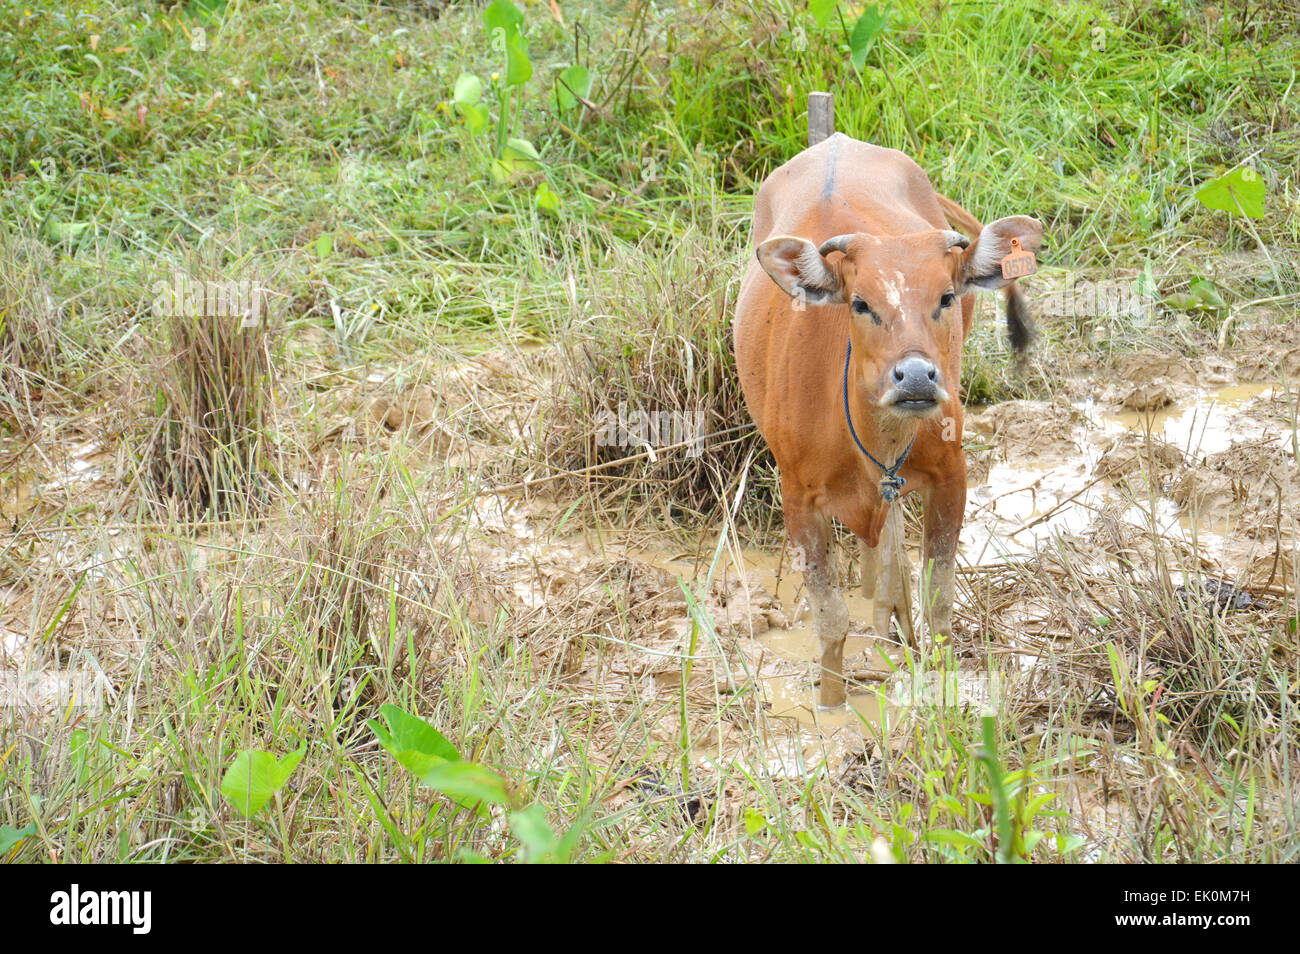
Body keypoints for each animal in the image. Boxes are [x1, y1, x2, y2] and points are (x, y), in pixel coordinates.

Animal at [734, 132, 1043, 709]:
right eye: (860, 302)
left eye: (946, 296)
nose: (917, 377)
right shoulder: (797, 499)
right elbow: (831, 621)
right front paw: (831, 704)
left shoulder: (951, 476)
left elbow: (939, 602)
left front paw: (942, 683)